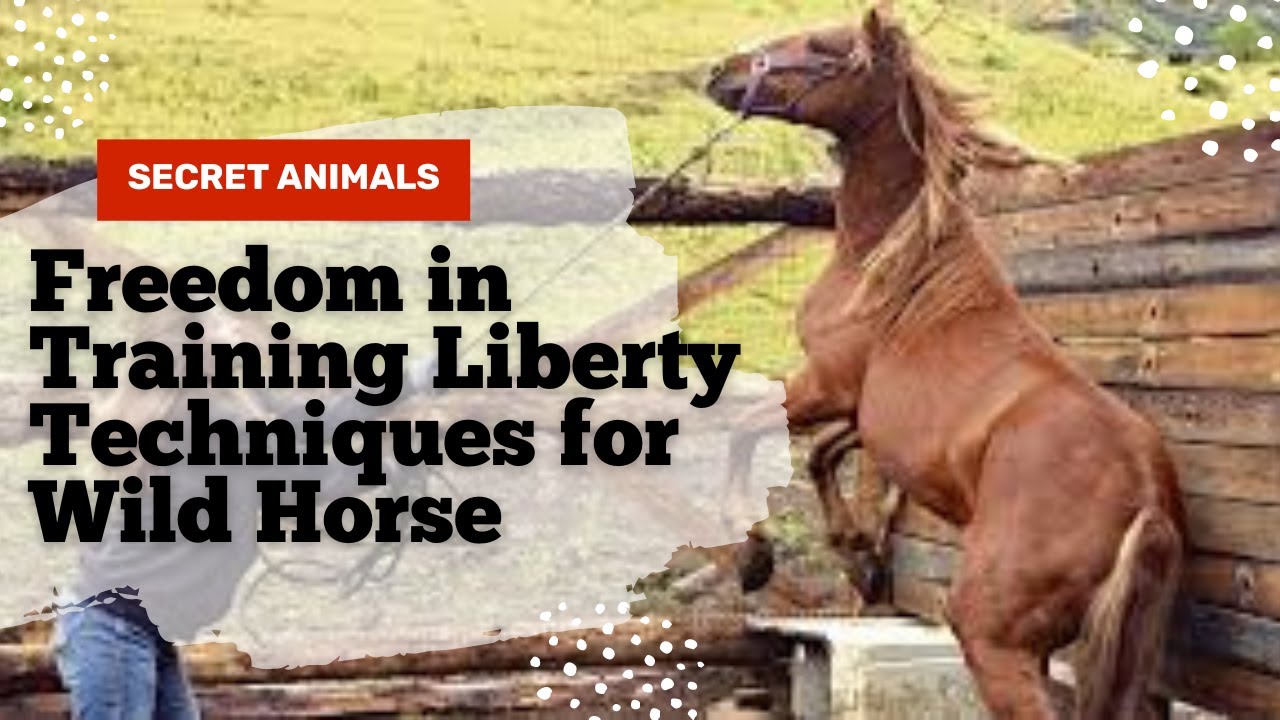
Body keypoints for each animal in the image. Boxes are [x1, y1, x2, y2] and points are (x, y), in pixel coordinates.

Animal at [704, 7, 1185, 719]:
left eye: (825, 46)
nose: (723, 71)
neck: (896, 266)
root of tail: (1145, 499)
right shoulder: (864, 412)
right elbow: (822, 453)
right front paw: (862, 559)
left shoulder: (826, 382)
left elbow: (747, 429)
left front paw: (756, 559)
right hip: (1129, 671)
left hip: (996, 642)